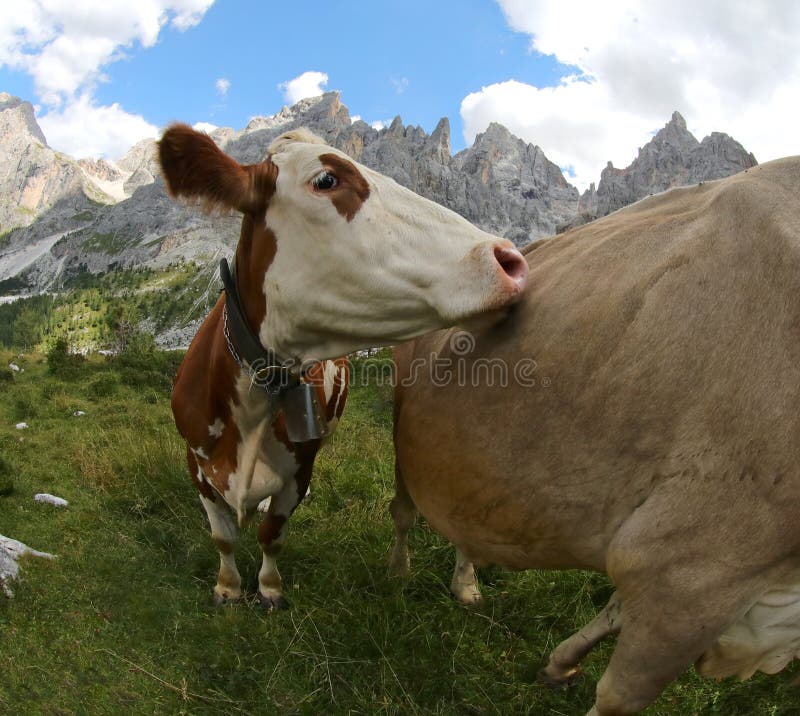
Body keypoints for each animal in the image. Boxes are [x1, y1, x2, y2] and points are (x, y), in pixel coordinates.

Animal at [157, 125, 528, 609]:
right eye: (326, 180)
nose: (510, 260)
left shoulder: (300, 469)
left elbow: (271, 535)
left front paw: (269, 587)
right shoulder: (196, 464)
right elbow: (223, 537)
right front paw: (228, 587)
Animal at [390, 157, 800, 714]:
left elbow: (612, 612)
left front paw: (559, 664)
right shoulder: (690, 567)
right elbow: (620, 695)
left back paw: (466, 585)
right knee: (404, 510)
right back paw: (399, 571)